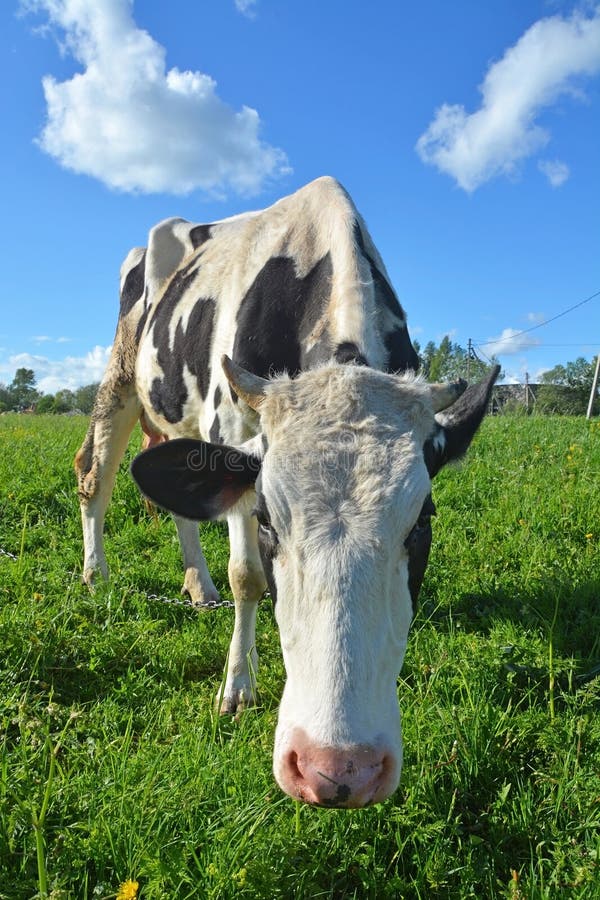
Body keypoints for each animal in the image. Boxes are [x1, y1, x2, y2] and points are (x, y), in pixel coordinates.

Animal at [75, 176, 498, 807]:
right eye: (269, 521)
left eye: (422, 522)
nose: (340, 769)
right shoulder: (231, 434)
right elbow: (247, 576)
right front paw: (238, 686)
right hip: (123, 374)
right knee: (96, 476)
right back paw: (96, 572)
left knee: (181, 511)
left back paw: (198, 586)